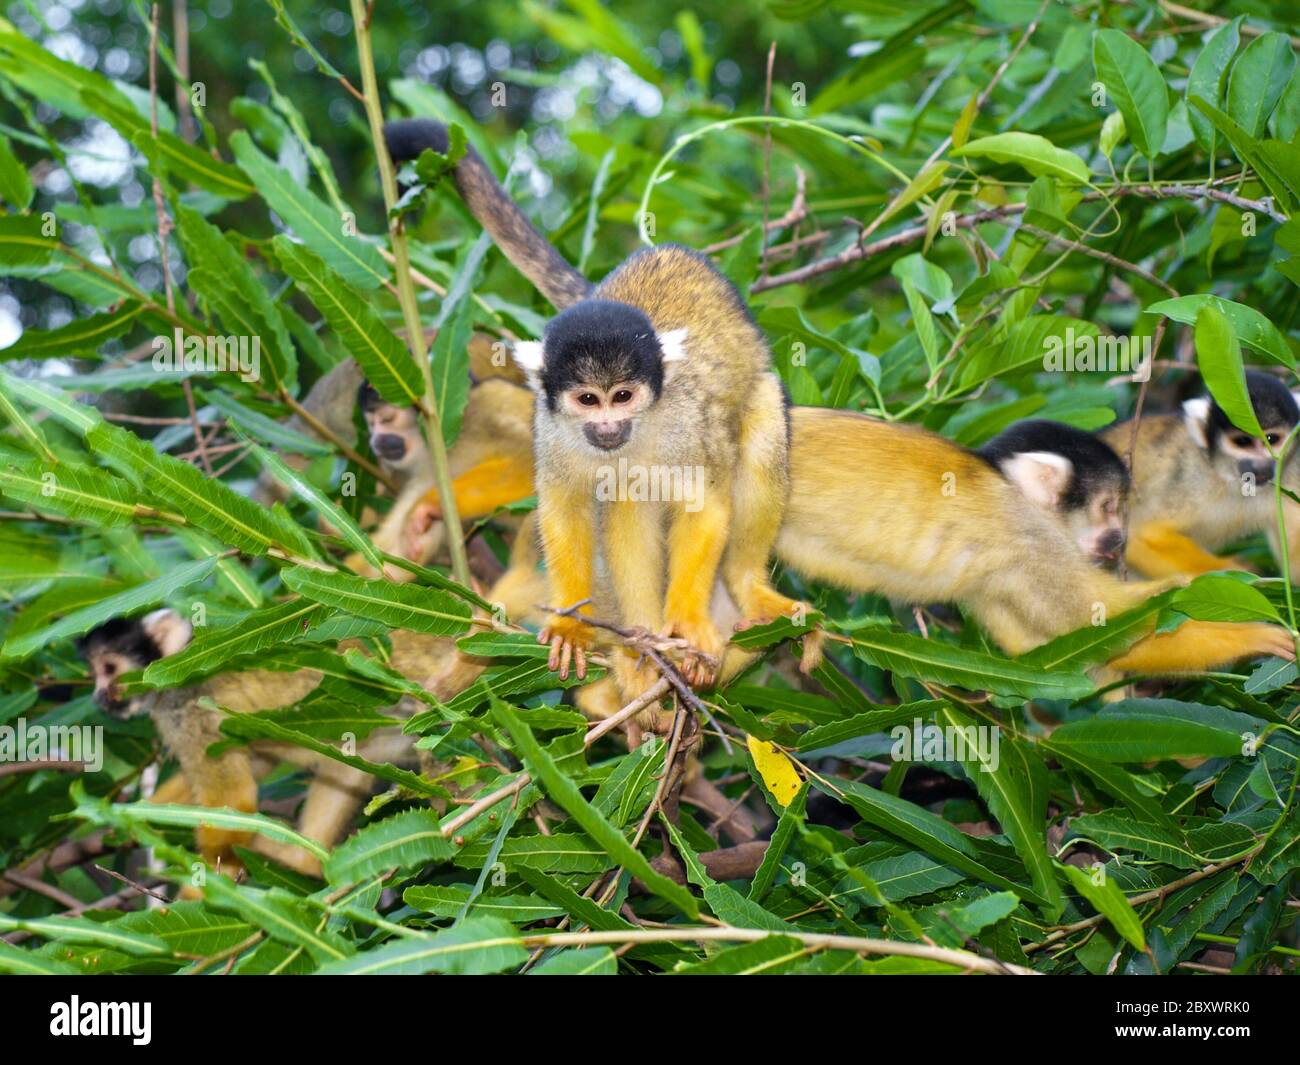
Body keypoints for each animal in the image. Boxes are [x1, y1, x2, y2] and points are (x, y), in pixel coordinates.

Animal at [384, 119, 803, 719]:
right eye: (588, 400)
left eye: (623, 396)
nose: (607, 427)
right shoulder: (550, 427)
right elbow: (566, 509)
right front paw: (572, 625)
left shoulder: (689, 422)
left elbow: (704, 505)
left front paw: (688, 623)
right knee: (624, 503)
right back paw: (640, 646)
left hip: (756, 397)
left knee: (760, 432)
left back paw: (739, 591)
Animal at [1100, 371, 1300, 580]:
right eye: (1243, 441)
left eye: (1271, 439)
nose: (1259, 466)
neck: (1229, 479)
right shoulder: (1186, 476)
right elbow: (1144, 534)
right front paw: (1231, 569)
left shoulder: (1290, 478)